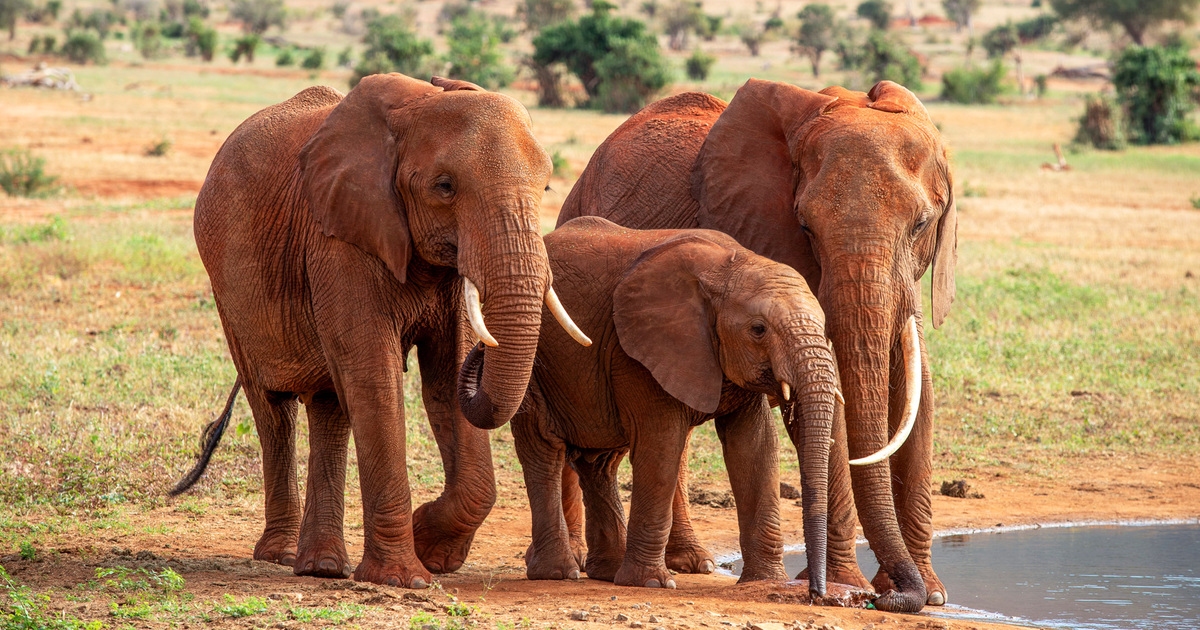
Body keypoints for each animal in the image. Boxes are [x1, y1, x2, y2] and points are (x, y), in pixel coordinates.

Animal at [170, 73, 588, 588]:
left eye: (546, 185)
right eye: (444, 187)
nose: (485, 346)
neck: (418, 105)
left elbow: (445, 381)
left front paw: (432, 551)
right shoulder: (339, 239)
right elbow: (376, 378)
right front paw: (406, 577)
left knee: (329, 407)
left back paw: (322, 567)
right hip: (228, 291)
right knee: (273, 409)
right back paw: (283, 556)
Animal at [458, 216, 841, 593]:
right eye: (758, 329)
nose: (815, 592)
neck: (728, 267)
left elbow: (755, 448)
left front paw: (765, 581)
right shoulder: (637, 353)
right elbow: (661, 446)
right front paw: (653, 583)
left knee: (599, 463)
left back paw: (606, 572)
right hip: (539, 369)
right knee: (545, 451)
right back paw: (559, 573)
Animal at [555, 79, 957, 613]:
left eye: (920, 226)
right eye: (805, 226)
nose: (883, 597)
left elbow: (917, 393)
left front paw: (929, 594)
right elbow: (823, 407)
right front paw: (849, 587)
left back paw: (691, 563)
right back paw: (588, 562)